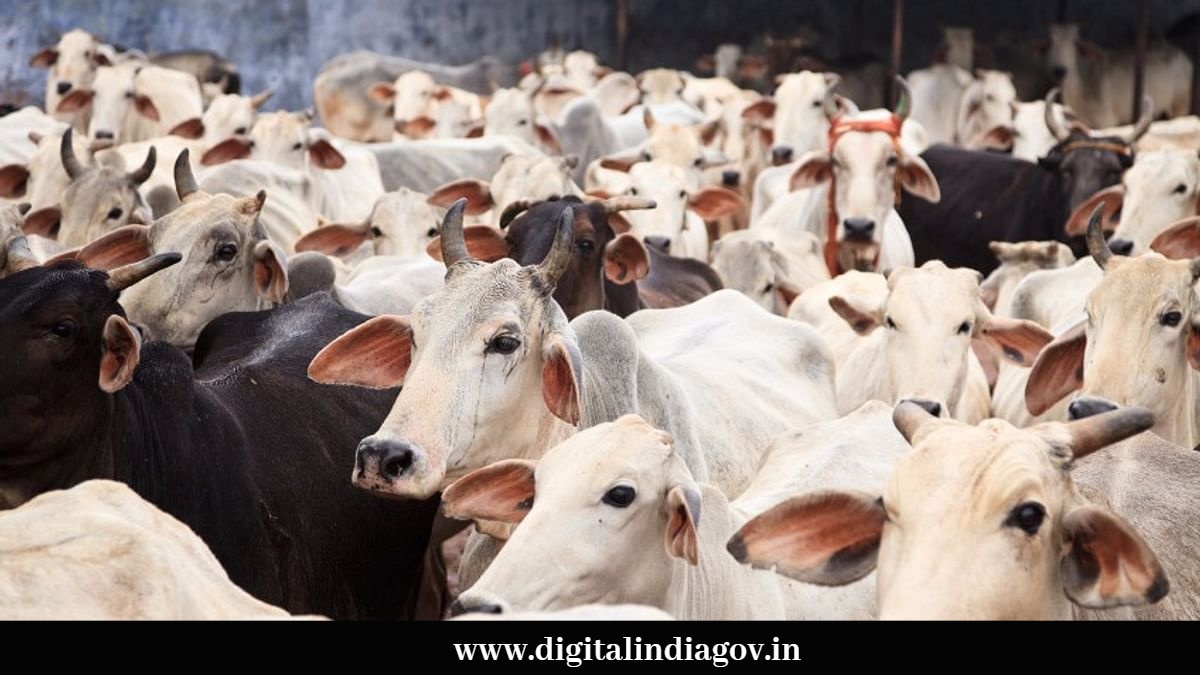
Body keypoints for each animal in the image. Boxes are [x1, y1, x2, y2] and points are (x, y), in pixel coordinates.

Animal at [1048, 23, 1192, 128]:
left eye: (1075, 43)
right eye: (1051, 42)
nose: (1059, 71)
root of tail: (1182, 56)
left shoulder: (1106, 122)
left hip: (1181, 105)